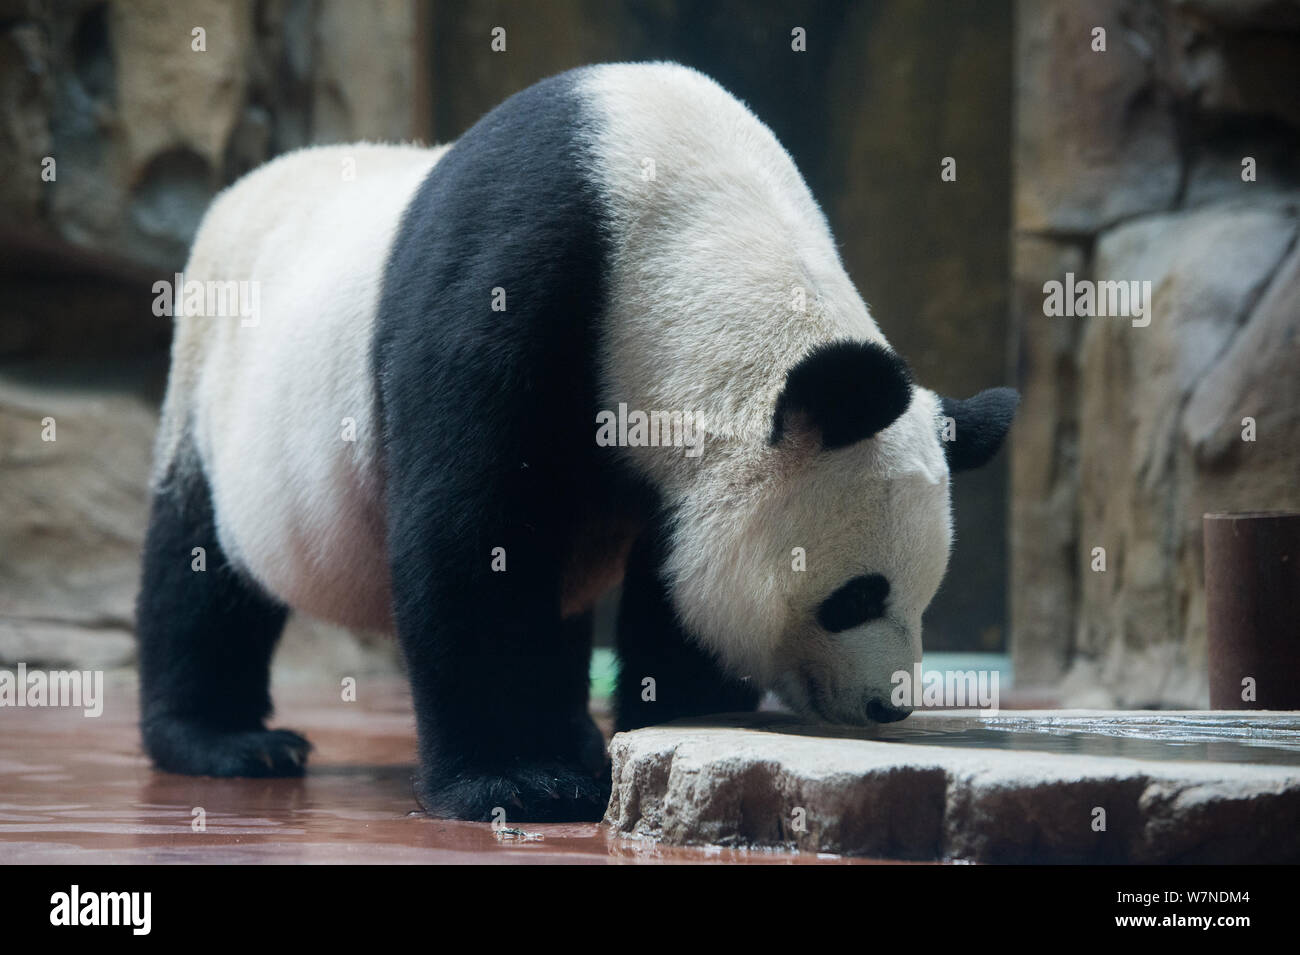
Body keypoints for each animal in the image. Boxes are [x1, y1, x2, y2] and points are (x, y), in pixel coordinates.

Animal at [137, 62, 1018, 822]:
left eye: (924, 593)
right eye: (857, 595)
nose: (886, 704)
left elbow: (672, 583)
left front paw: (685, 717)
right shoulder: (508, 284)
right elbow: (468, 535)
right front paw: (516, 782)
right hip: (215, 383)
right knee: (200, 568)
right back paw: (230, 741)